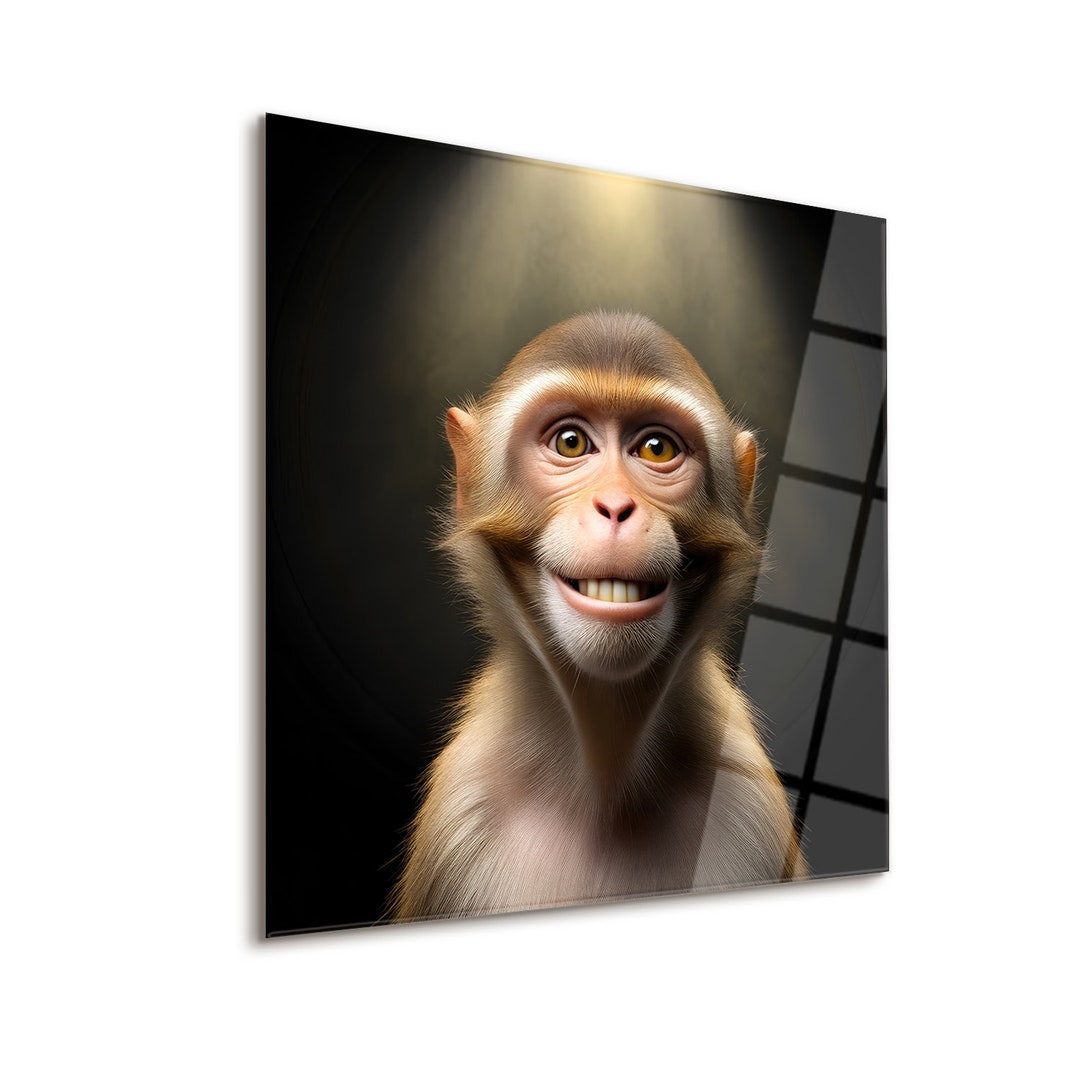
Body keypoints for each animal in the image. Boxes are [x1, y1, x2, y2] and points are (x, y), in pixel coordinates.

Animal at [391, 310, 806, 922]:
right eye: (571, 442)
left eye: (656, 448)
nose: (614, 506)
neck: (607, 779)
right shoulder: (458, 818)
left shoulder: (748, 808)